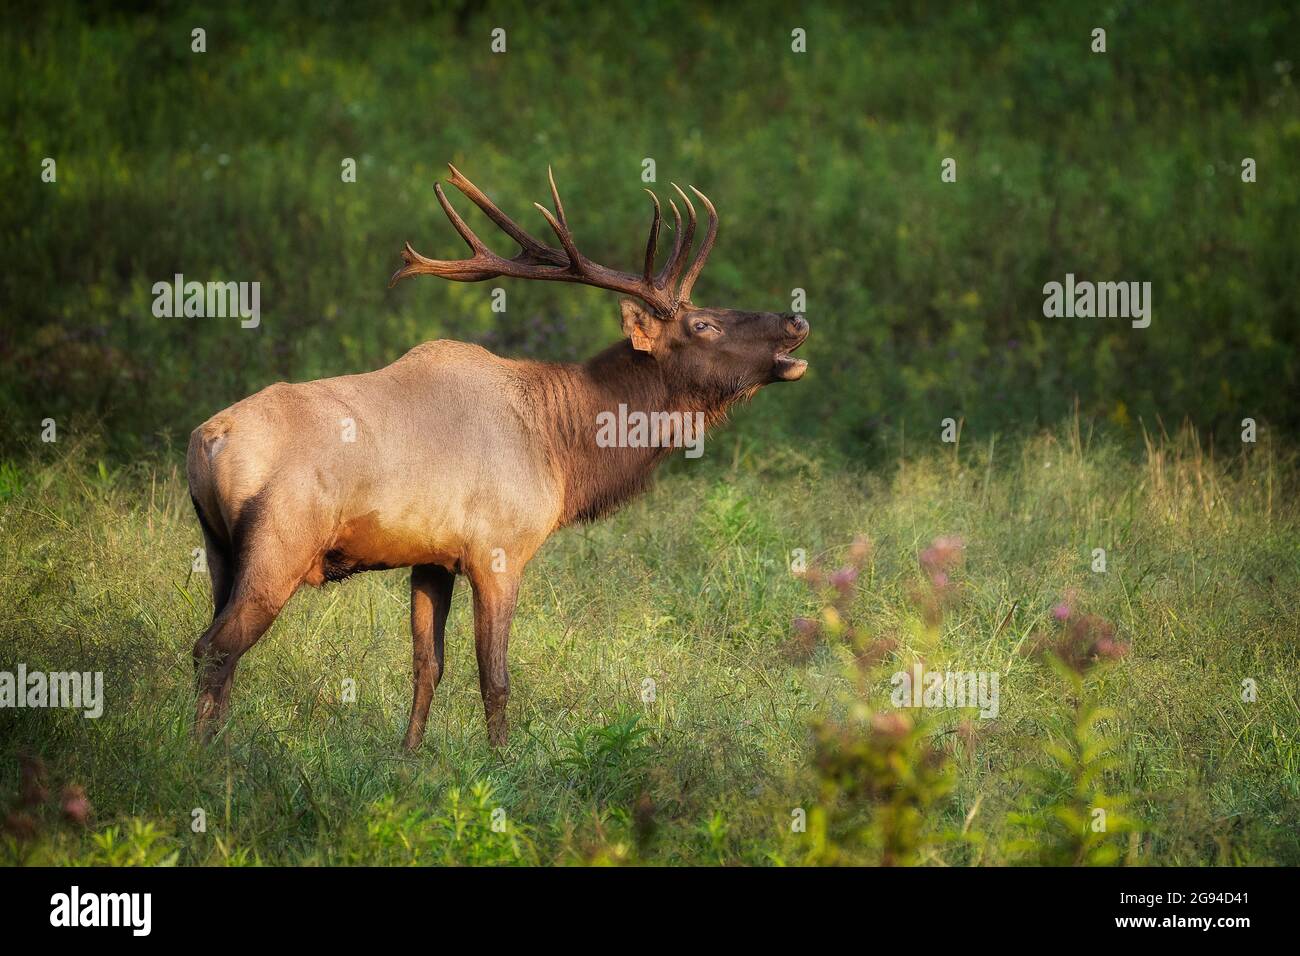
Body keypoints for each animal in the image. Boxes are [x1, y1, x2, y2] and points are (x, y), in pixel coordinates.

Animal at [187, 164, 809, 749]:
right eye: (703, 323)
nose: (796, 318)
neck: (564, 454)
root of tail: (207, 441)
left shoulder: (432, 557)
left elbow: (427, 666)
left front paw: (408, 756)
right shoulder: (499, 549)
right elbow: (495, 676)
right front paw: (502, 761)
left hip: (218, 548)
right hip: (281, 543)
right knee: (215, 649)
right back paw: (202, 756)